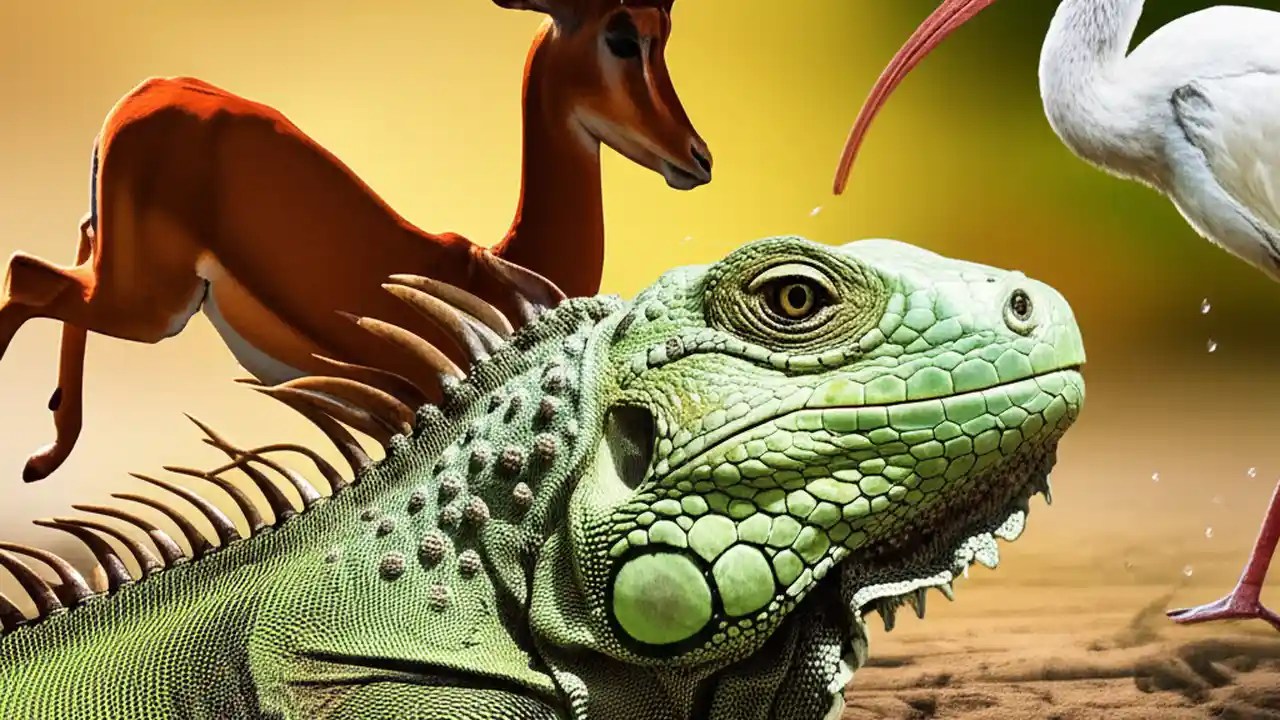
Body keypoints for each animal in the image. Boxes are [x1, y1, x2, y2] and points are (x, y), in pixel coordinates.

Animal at [0, 0, 711, 483]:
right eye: (622, 36)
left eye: (667, 34)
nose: (697, 157)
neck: (503, 266)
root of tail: (146, 90)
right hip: (155, 305)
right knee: (26, 275)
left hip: (126, 272)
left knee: (64, 257)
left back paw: (46, 453)